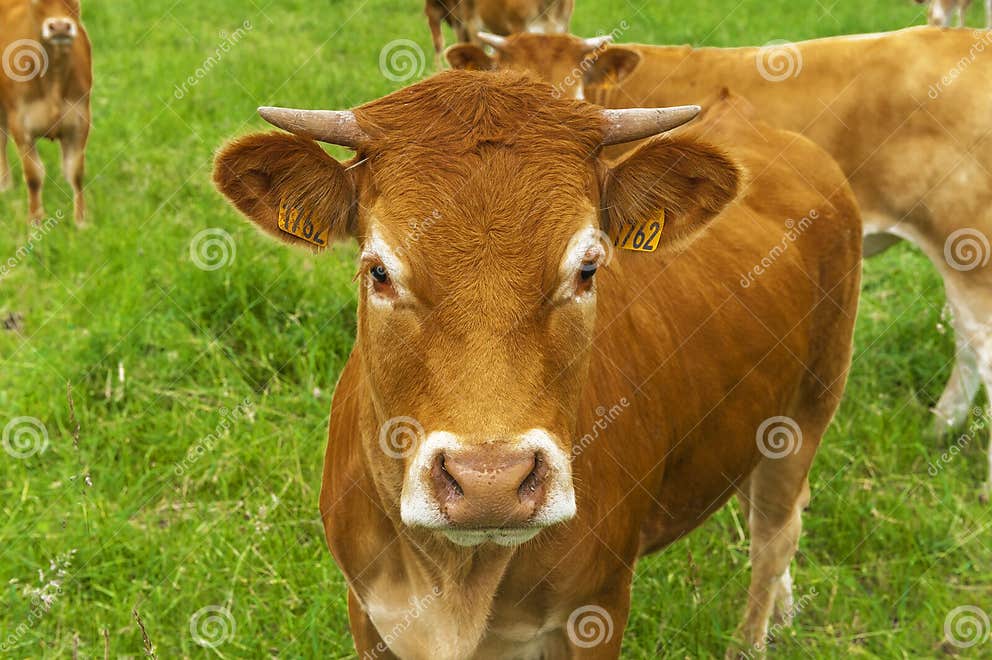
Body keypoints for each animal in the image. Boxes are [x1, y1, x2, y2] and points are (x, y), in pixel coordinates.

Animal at [0, 0, 91, 225]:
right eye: (36, 1)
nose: (59, 27)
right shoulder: (20, 124)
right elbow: (33, 175)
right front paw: (35, 220)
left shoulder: (80, 121)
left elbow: (76, 171)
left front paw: (81, 222)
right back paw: (5, 185)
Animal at [213, 70, 861, 656]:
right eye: (379, 270)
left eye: (588, 267)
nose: (489, 483)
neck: (458, 582)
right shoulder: (368, 612)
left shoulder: (597, 607)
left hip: (809, 409)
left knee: (774, 533)